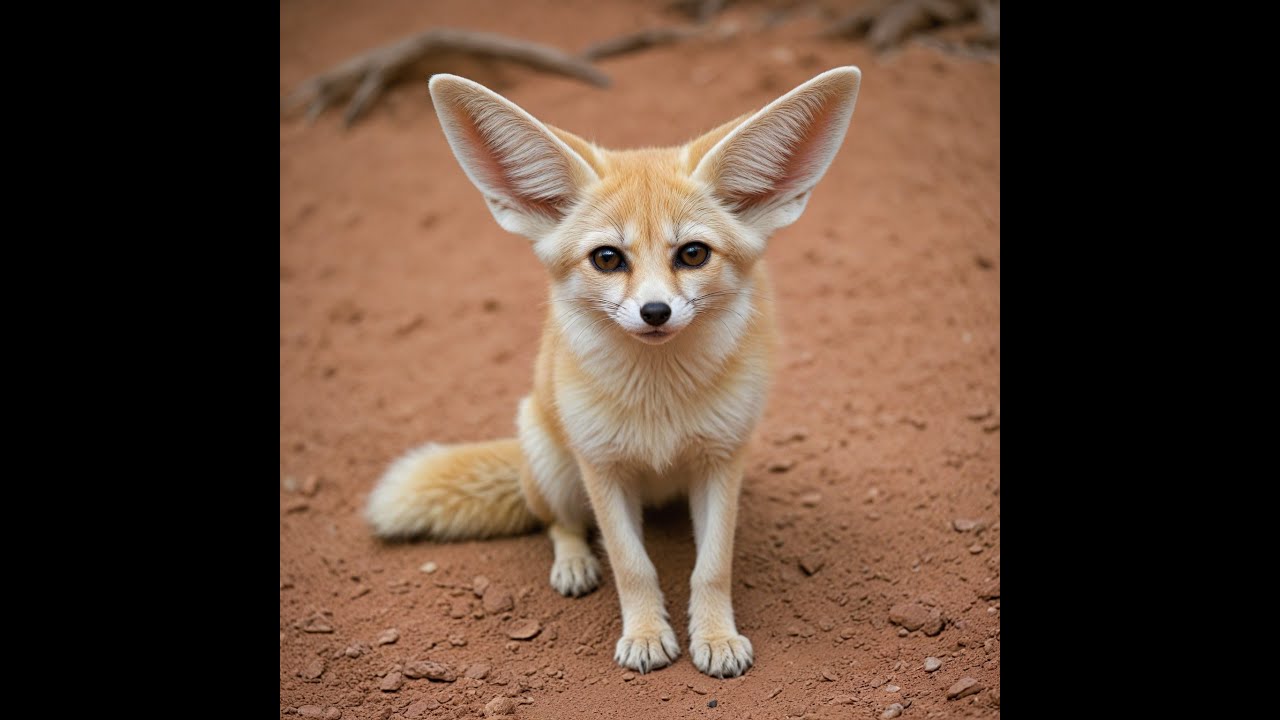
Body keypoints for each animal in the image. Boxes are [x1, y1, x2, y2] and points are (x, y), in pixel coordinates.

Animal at [366, 66, 861, 678]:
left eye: (692, 254)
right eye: (607, 258)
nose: (655, 312)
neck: (659, 401)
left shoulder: (722, 459)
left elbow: (711, 567)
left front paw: (716, 638)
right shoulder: (602, 467)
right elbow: (632, 565)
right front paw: (646, 636)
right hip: (554, 465)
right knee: (559, 523)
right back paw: (574, 564)